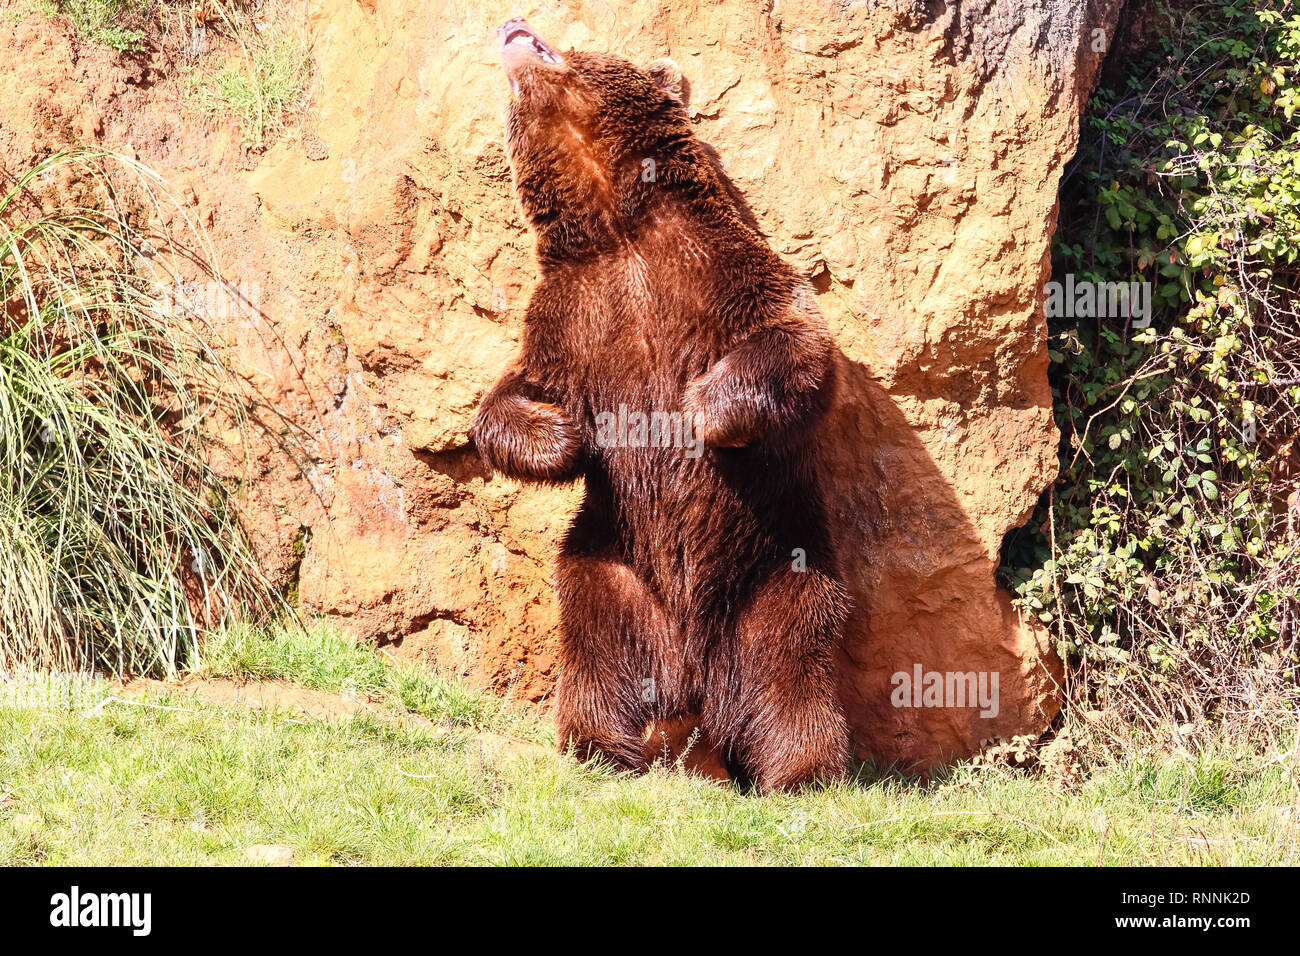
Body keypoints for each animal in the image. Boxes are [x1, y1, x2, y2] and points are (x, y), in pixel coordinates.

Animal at [469, 18, 851, 792]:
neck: (620, 230)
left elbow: (799, 345)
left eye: (578, 40)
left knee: (797, 668)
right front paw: (565, 436)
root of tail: (695, 682)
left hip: (778, 571)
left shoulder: (723, 272)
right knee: (595, 644)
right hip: (613, 565)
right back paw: (597, 744)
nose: (512, 24)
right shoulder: (571, 322)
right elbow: (509, 400)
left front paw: (704, 410)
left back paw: (801, 771)